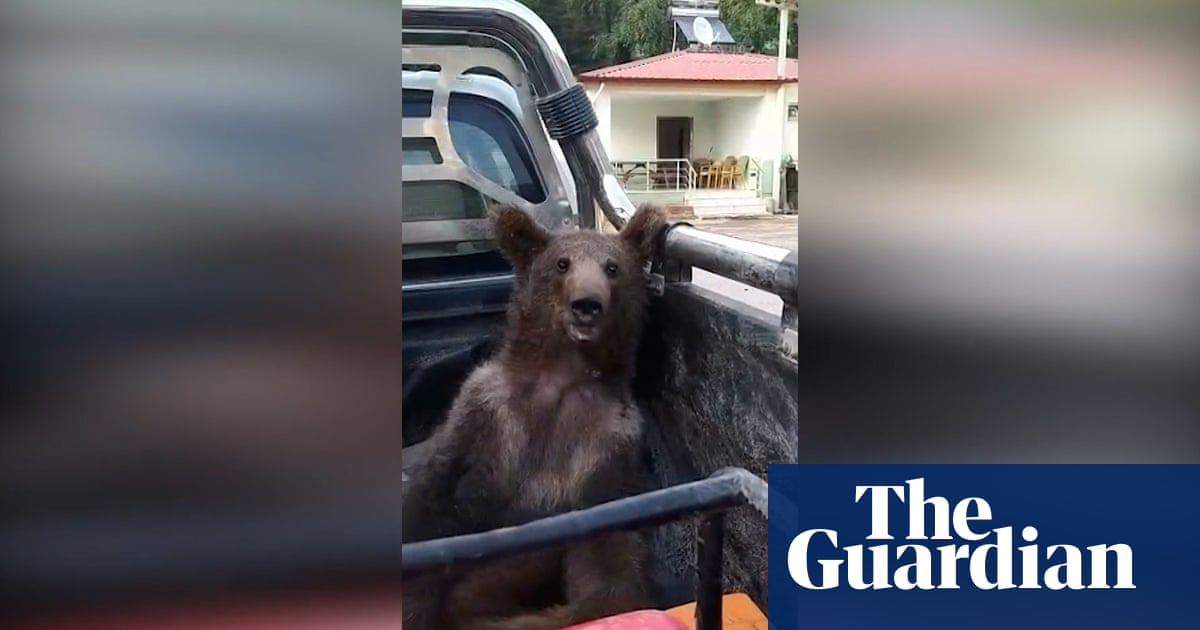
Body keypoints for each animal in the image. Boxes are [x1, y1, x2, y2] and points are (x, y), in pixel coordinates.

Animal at [401, 202, 669, 630]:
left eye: (612, 267)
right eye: (561, 263)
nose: (586, 304)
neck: (558, 380)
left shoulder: (607, 448)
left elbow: (610, 566)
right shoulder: (484, 414)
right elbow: (429, 513)